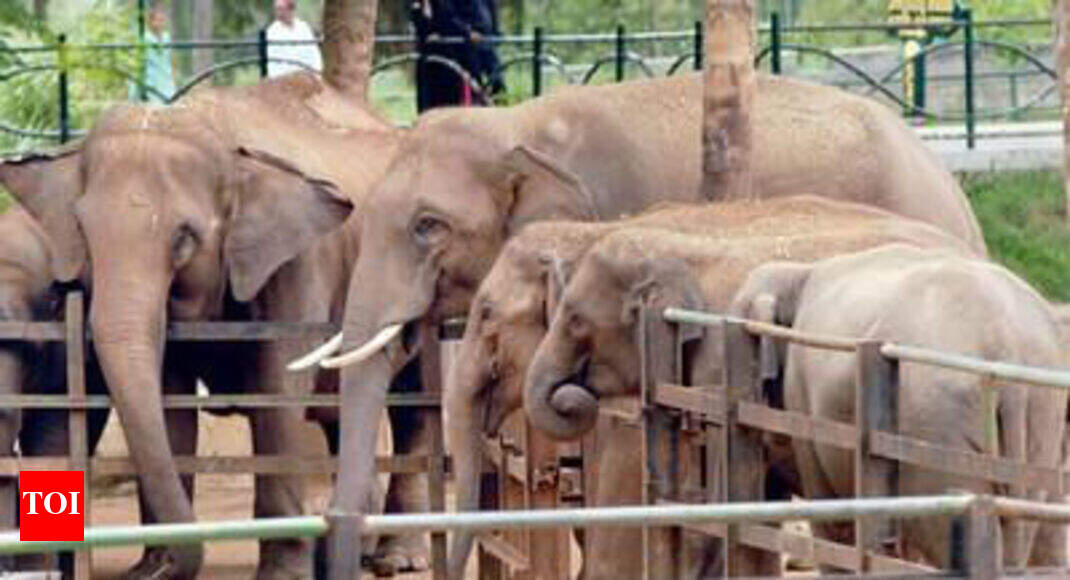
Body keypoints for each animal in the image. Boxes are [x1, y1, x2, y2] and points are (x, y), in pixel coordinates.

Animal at [0, 73, 404, 578]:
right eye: (84, 233)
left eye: (184, 239)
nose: (165, 562)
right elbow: (169, 397)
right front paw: (155, 568)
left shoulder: (298, 264)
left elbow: (280, 392)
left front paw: (281, 573)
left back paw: (393, 557)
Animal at [727, 244, 1068, 570]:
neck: (800, 272)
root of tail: (1004, 345)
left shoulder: (804, 405)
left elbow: (836, 528)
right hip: (1041, 423)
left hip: (935, 431)